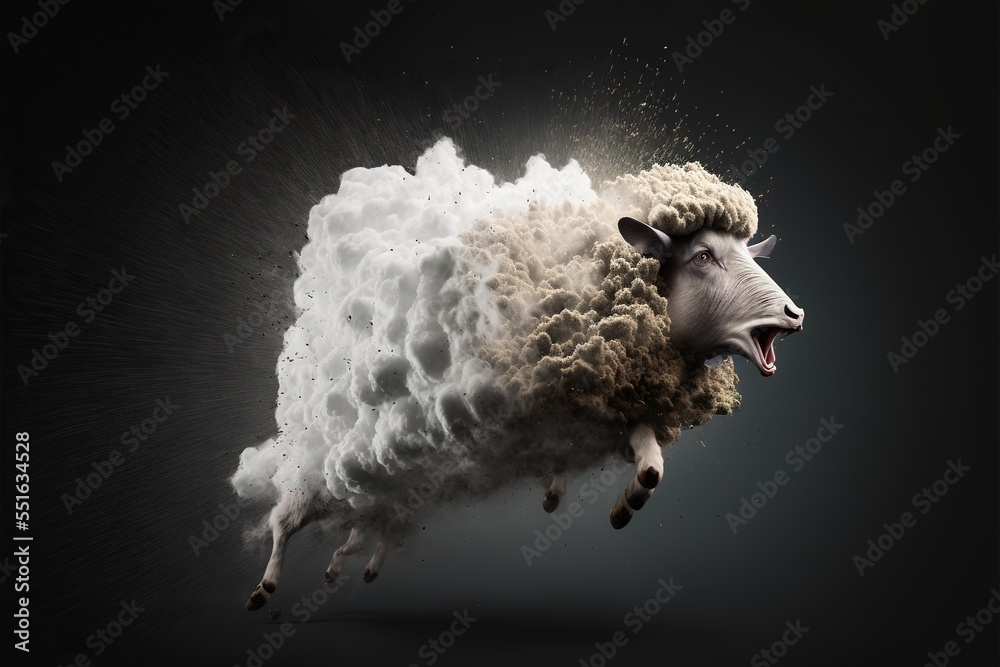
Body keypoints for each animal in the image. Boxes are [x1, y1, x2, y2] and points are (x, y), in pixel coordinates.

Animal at [232, 140, 804, 610]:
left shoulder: (623, 406)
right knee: (283, 525)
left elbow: (651, 467)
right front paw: (601, 502)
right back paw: (265, 588)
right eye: (703, 255)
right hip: (314, 475)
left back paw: (347, 568)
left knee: (366, 529)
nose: (795, 313)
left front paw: (617, 505)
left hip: (382, 495)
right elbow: (639, 466)